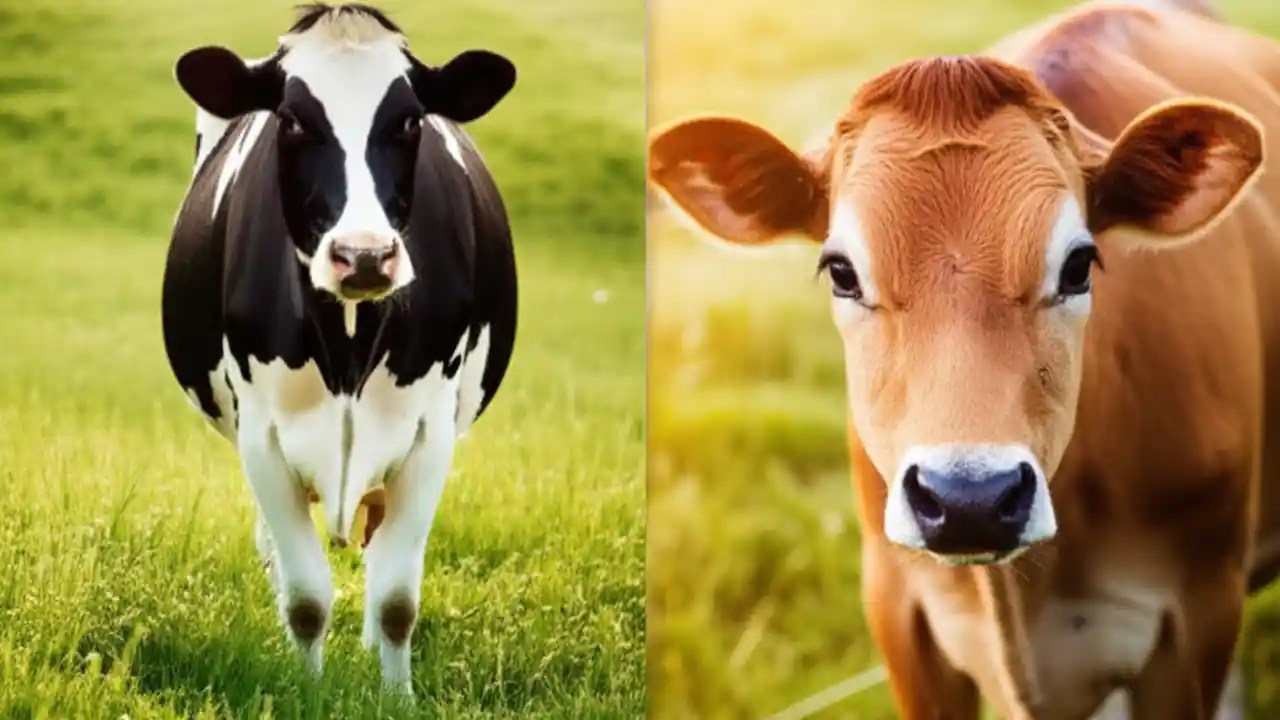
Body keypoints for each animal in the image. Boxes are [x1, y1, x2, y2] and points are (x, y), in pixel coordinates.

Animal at [162, 3, 517, 694]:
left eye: (409, 120)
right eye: (293, 121)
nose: (365, 255)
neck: (347, 347)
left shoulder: (428, 434)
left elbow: (397, 599)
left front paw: (398, 696)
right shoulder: (264, 437)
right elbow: (305, 597)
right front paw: (308, 689)